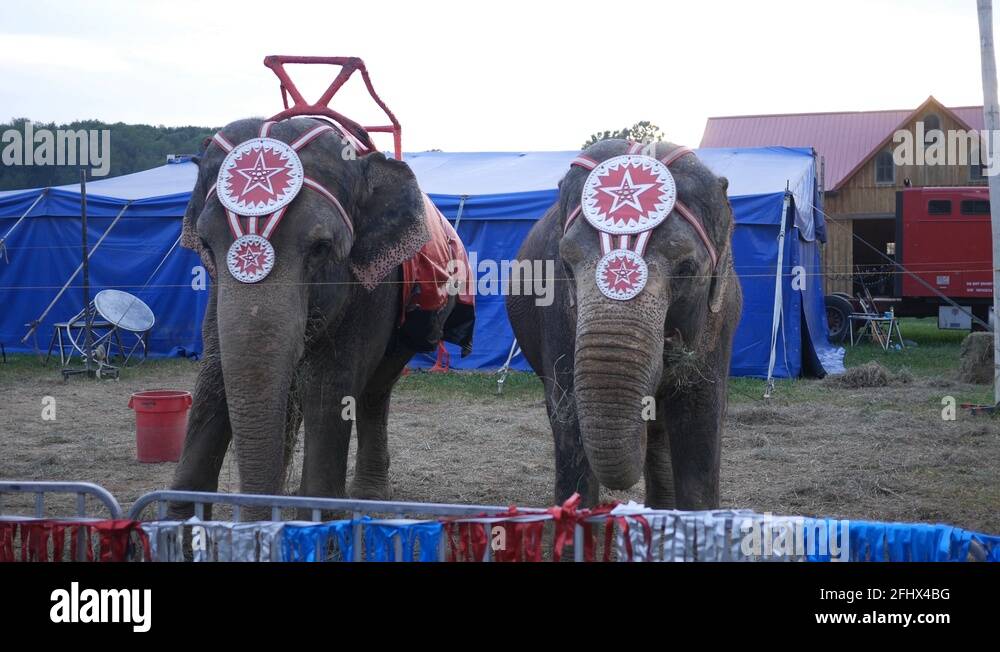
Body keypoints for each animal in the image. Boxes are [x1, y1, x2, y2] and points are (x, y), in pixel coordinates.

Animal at [168, 117, 472, 515]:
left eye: (321, 247)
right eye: (204, 245)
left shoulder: (374, 286)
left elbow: (331, 387)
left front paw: (318, 511)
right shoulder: (218, 292)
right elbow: (214, 374)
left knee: (376, 389)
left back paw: (368, 496)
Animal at [506, 139, 741, 509]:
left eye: (687, 268)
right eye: (567, 264)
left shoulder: (721, 319)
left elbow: (701, 420)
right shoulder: (555, 312)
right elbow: (569, 417)